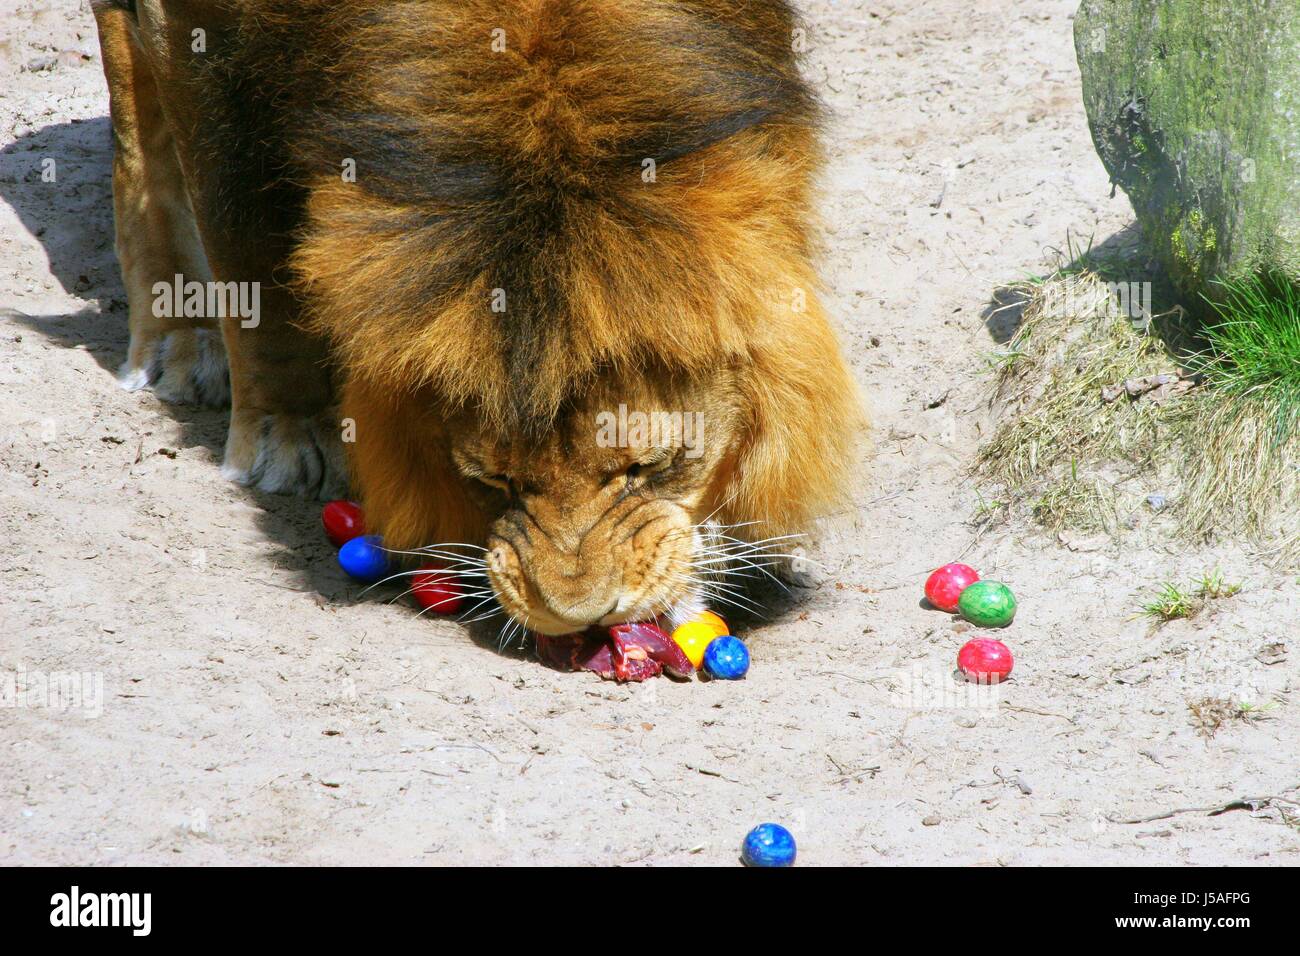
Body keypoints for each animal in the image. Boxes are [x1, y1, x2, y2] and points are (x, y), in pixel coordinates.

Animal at [93, 0, 864, 637]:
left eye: (646, 467)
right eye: (495, 482)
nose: (580, 618)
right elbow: (247, 257)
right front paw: (287, 436)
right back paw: (178, 337)